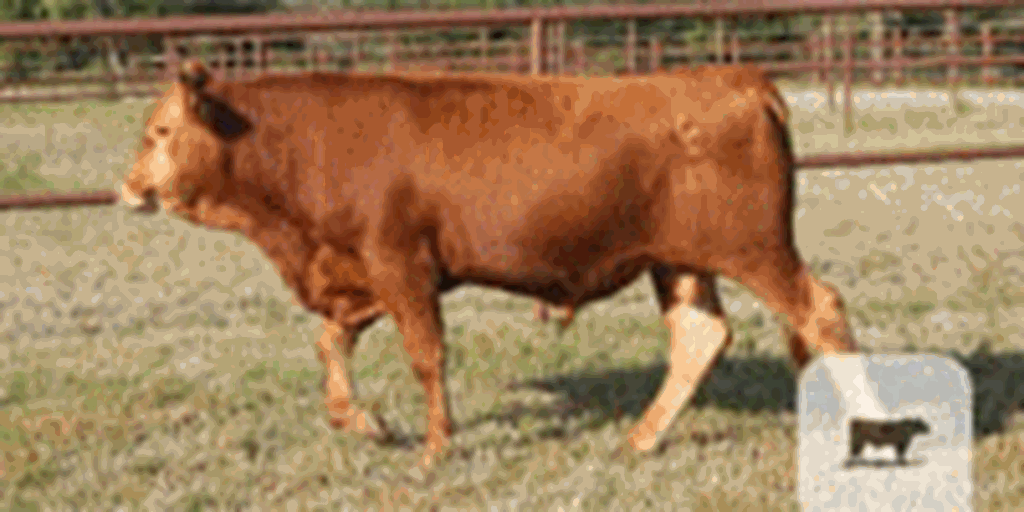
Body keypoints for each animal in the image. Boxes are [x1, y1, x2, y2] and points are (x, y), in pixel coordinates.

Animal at [120, 59, 857, 470]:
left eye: (160, 131)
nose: (127, 189)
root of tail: (737, 80)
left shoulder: (400, 265)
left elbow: (426, 356)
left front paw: (435, 448)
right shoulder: (358, 276)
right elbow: (331, 345)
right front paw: (366, 422)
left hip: (754, 248)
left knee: (820, 310)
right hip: (679, 261)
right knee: (700, 338)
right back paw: (641, 439)